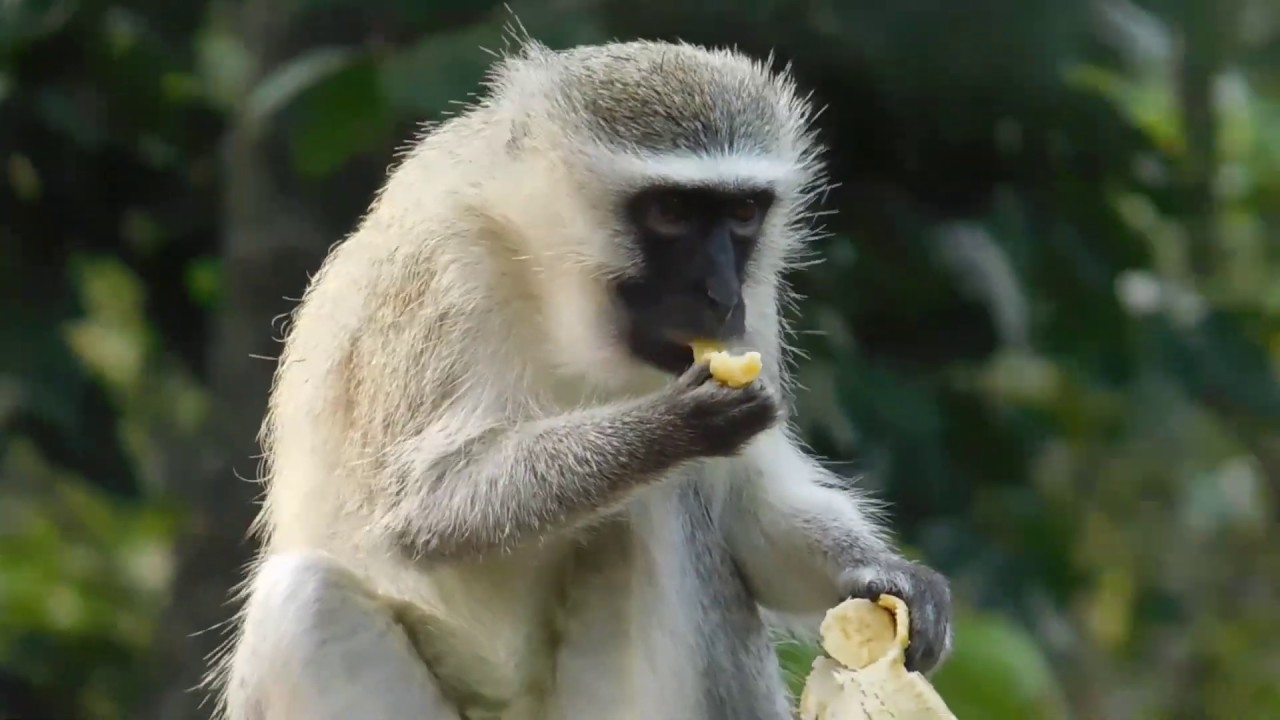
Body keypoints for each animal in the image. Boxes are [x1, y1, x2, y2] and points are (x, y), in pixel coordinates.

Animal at [207, 32, 953, 720]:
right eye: (671, 212)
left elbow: (747, 503)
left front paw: (893, 577)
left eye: (743, 213)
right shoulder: (438, 278)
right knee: (305, 601)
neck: (549, 279)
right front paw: (674, 424)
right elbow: (417, 509)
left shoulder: (757, 303)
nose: (719, 294)